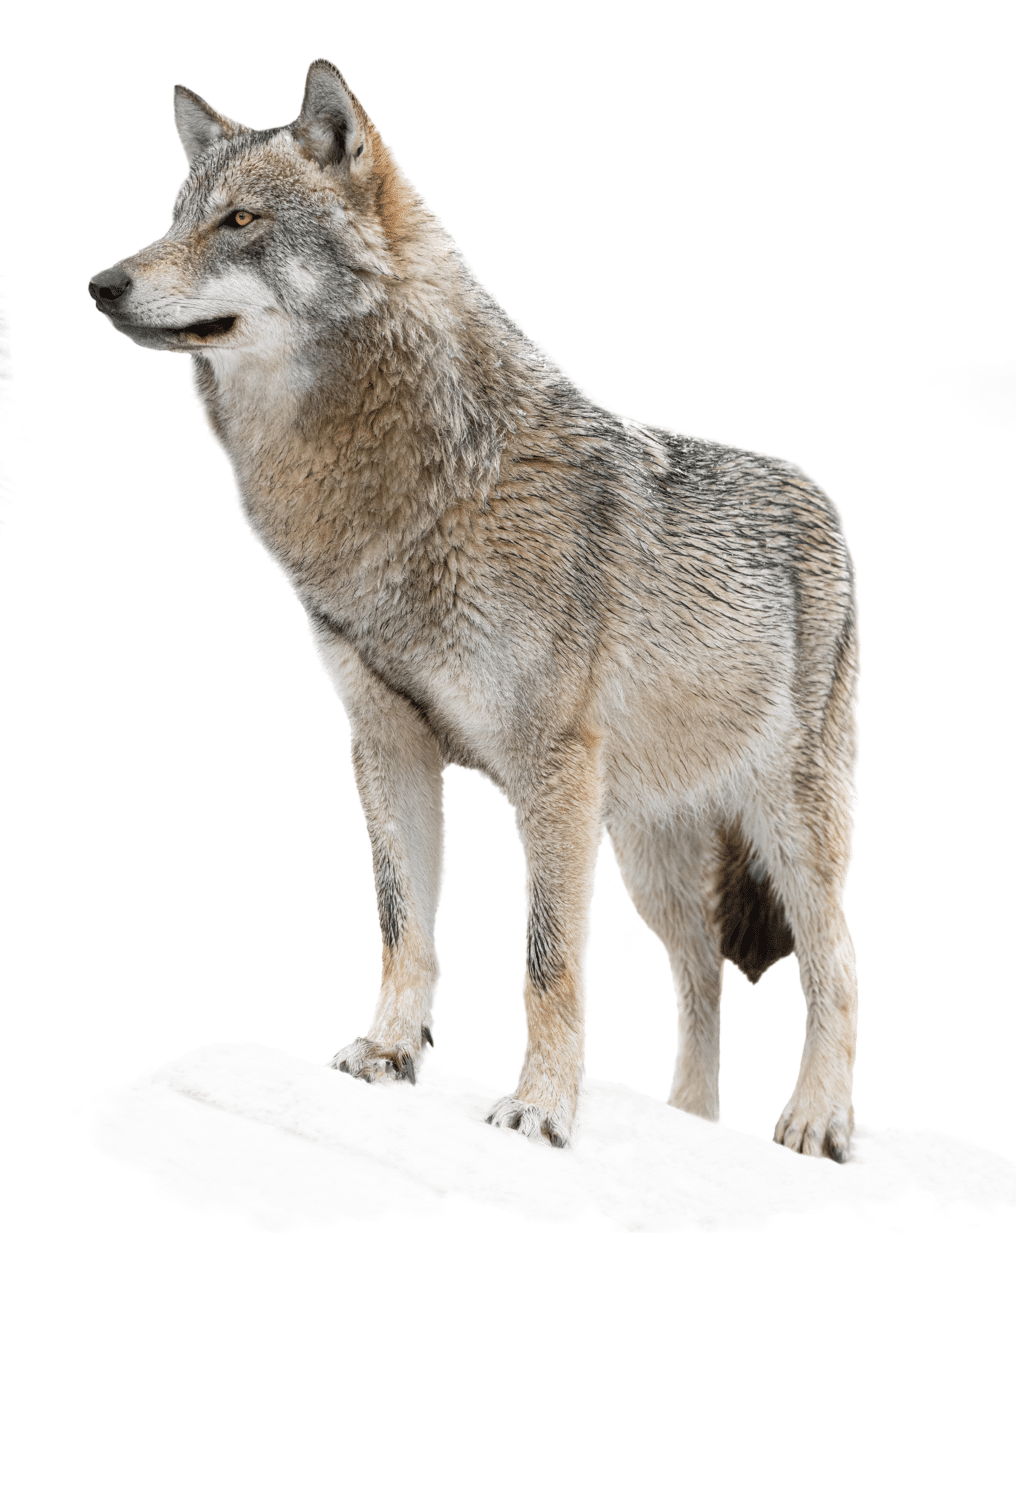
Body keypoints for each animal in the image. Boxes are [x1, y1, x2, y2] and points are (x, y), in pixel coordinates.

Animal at [89, 60, 858, 1159]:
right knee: (700, 974)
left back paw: (815, 1122)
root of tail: (824, 504)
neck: (401, 502)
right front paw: (387, 1053)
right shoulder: (385, 744)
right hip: (651, 865)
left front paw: (539, 1110)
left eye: (239, 221)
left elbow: (546, 962)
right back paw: (687, 1123)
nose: (102, 283)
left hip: (782, 835)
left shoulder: (549, 773)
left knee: (838, 965)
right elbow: (400, 922)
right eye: (175, 219)